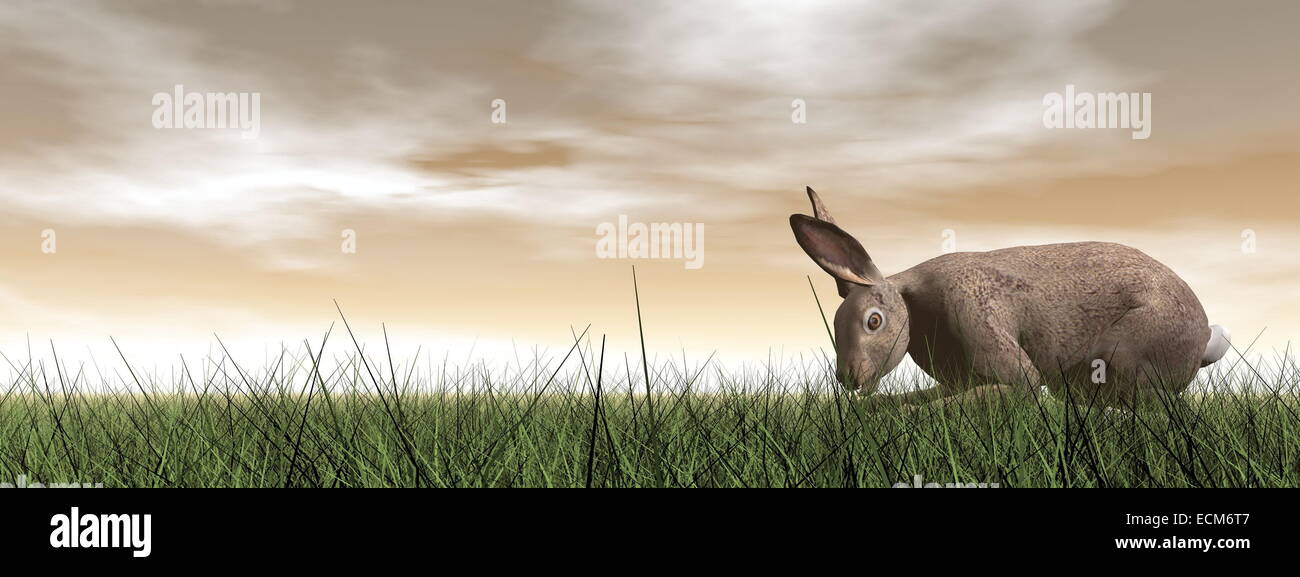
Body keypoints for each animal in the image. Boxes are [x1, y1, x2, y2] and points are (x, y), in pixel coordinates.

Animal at [790, 186, 1231, 408]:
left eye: (874, 321)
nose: (848, 379)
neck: (912, 303)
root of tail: (1202, 338)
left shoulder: (981, 328)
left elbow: (954, 403)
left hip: (1125, 351)